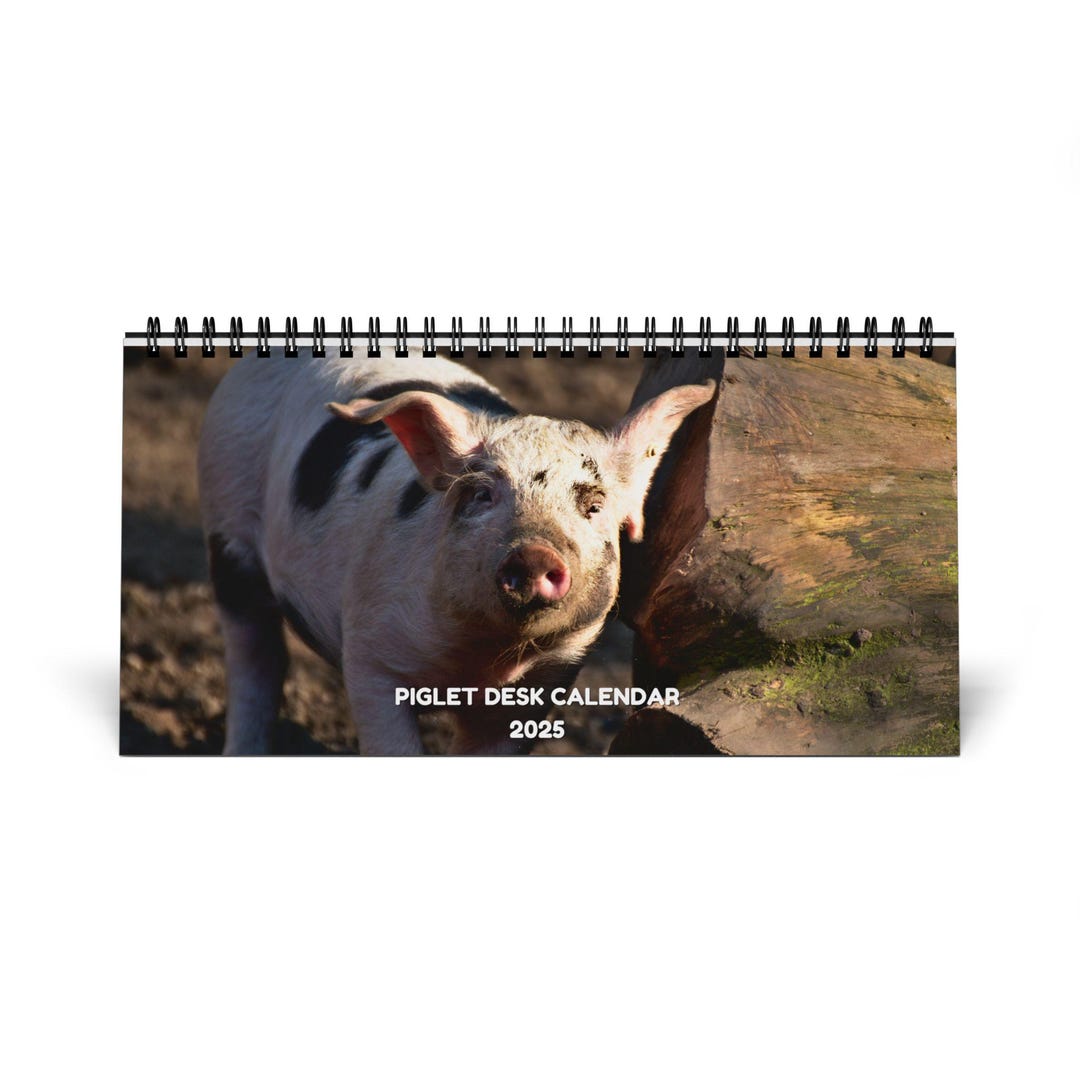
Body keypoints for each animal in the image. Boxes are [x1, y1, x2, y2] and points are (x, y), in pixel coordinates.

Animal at [197, 347, 714, 754]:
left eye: (594, 506)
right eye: (482, 495)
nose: (534, 554)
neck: (482, 663)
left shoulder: (539, 687)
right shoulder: (370, 655)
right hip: (227, 520)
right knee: (254, 659)